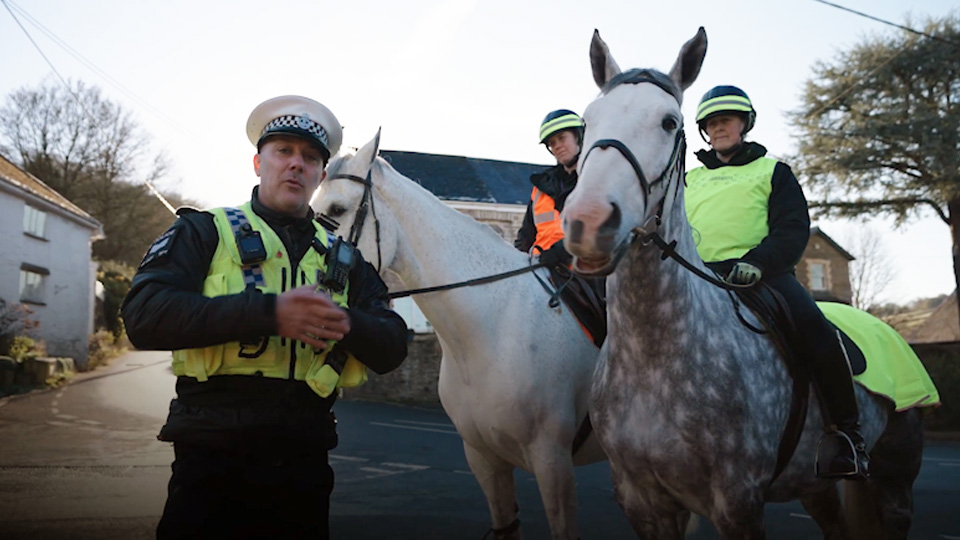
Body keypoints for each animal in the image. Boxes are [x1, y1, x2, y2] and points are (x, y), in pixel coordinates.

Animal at [559, 28, 926, 539]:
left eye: (669, 122)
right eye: (590, 121)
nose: (588, 223)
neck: (656, 361)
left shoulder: (738, 504)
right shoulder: (642, 502)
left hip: (895, 484)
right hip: (816, 488)